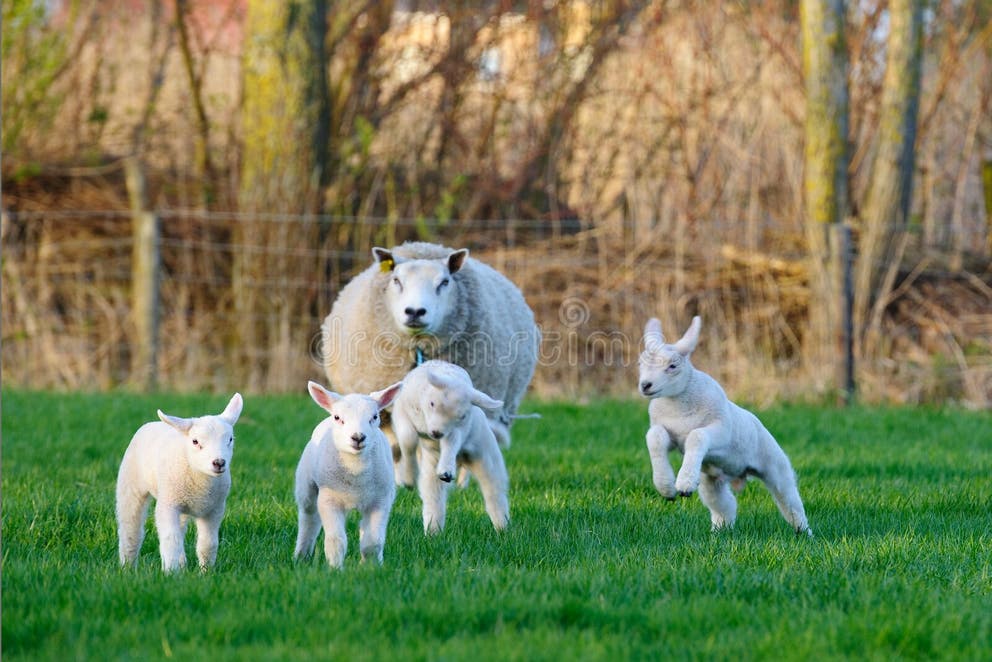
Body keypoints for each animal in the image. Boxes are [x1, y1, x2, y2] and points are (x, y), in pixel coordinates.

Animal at [116, 393, 244, 572]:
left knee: (181, 530)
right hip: (131, 486)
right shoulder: (168, 506)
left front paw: (206, 572)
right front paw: (171, 572)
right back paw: (127, 567)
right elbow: (171, 539)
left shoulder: (215, 509)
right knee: (130, 530)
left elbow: (208, 544)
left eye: (230, 439)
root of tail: (153, 423)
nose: (219, 462)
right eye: (195, 441)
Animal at [293, 380, 403, 568]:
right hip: (306, 485)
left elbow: (372, 542)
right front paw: (335, 568)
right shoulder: (329, 499)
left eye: (375, 417)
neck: (356, 471)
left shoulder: (380, 500)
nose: (358, 437)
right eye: (338, 418)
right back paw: (301, 555)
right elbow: (336, 541)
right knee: (309, 518)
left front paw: (371, 568)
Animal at [390, 360, 510, 534]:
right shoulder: (401, 411)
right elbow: (408, 439)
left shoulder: (457, 430)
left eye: (462, 416)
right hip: (432, 473)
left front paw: (446, 470)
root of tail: (461, 460)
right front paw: (409, 477)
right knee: (434, 500)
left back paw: (502, 528)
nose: (436, 433)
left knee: (494, 493)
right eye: (432, 403)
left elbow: (451, 444)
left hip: (487, 458)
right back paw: (433, 532)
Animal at [638, 316, 812, 536]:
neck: (678, 407)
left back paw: (804, 532)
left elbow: (697, 436)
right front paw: (666, 487)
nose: (645, 385)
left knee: (789, 500)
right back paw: (719, 532)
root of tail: (739, 475)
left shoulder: (721, 430)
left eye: (672, 365)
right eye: (640, 363)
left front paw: (684, 483)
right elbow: (655, 437)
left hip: (776, 466)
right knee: (725, 505)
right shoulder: (668, 432)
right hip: (712, 480)